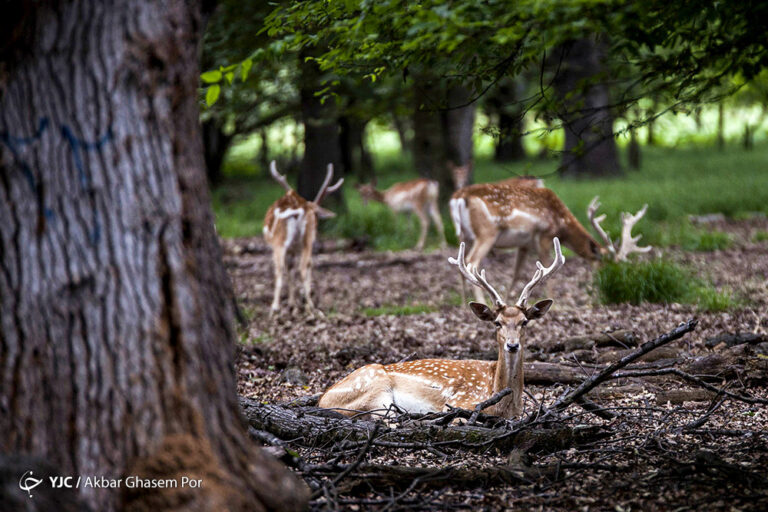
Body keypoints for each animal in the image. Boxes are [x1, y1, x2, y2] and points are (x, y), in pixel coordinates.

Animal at [263, 161, 343, 316]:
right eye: (317, 217)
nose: (317, 225)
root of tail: (299, 209)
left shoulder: (289, 247)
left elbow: (289, 269)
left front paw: (291, 303)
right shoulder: (294, 248)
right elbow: (292, 269)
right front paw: (293, 303)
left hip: (282, 241)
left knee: (283, 269)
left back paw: (278, 307)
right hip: (306, 239)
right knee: (304, 265)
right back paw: (308, 305)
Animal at [318, 238, 565, 419]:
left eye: (525, 321)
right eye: (497, 322)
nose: (512, 345)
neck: (505, 404)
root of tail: (322, 400)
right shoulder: (460, 402)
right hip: (376, 388)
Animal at [449, 183, 650, 303]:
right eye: (605, 265)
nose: (612, 283)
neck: (561, 223)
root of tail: (458, 198)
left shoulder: (525, 244)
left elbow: (516, 274)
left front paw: (508, 301)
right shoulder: (545, 235)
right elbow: (548, 270)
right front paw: (552, 301)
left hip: (464, 236)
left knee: (461, 263)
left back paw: (464, 303)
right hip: (487, 233)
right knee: (472, 262)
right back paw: (480, 302)